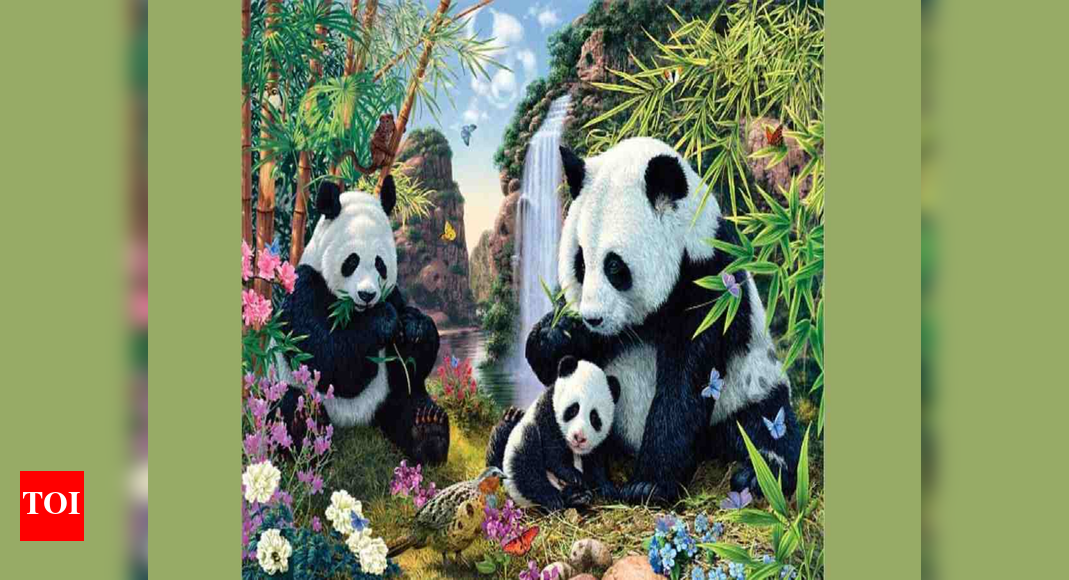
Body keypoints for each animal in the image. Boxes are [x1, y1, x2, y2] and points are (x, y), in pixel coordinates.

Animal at [275, 177, 450, 466]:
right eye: (352, 261)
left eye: (380, 264)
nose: (367, 295)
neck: (354, 312)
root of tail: (358, 424)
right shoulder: (304, 288)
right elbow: (326, 359)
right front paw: (383, 321)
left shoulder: (393, 293)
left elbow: (411, 365)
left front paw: (415, 327)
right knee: (290, 404)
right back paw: (303, 429)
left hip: (386, 396)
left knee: (406, 399)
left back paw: (428, 431)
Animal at [485, 356, 621, 511]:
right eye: (573, 409)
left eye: (594, 417)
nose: (579, 437)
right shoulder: (547, 411)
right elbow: (552, 452)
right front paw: (574, 475)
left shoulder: (597, 443)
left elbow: (596, 460)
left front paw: (607, 488)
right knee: (526, 462)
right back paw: (552, 497)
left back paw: (576, 496)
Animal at [525, 137, 803, 503]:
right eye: (580, 263)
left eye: (615, 266)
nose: (593, 318)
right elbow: (561, 366)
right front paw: (555, 334)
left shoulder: (710, 285)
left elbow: (687, 381)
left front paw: (648, 485)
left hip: (751, 386)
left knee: (767, 426)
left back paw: (757, 475)